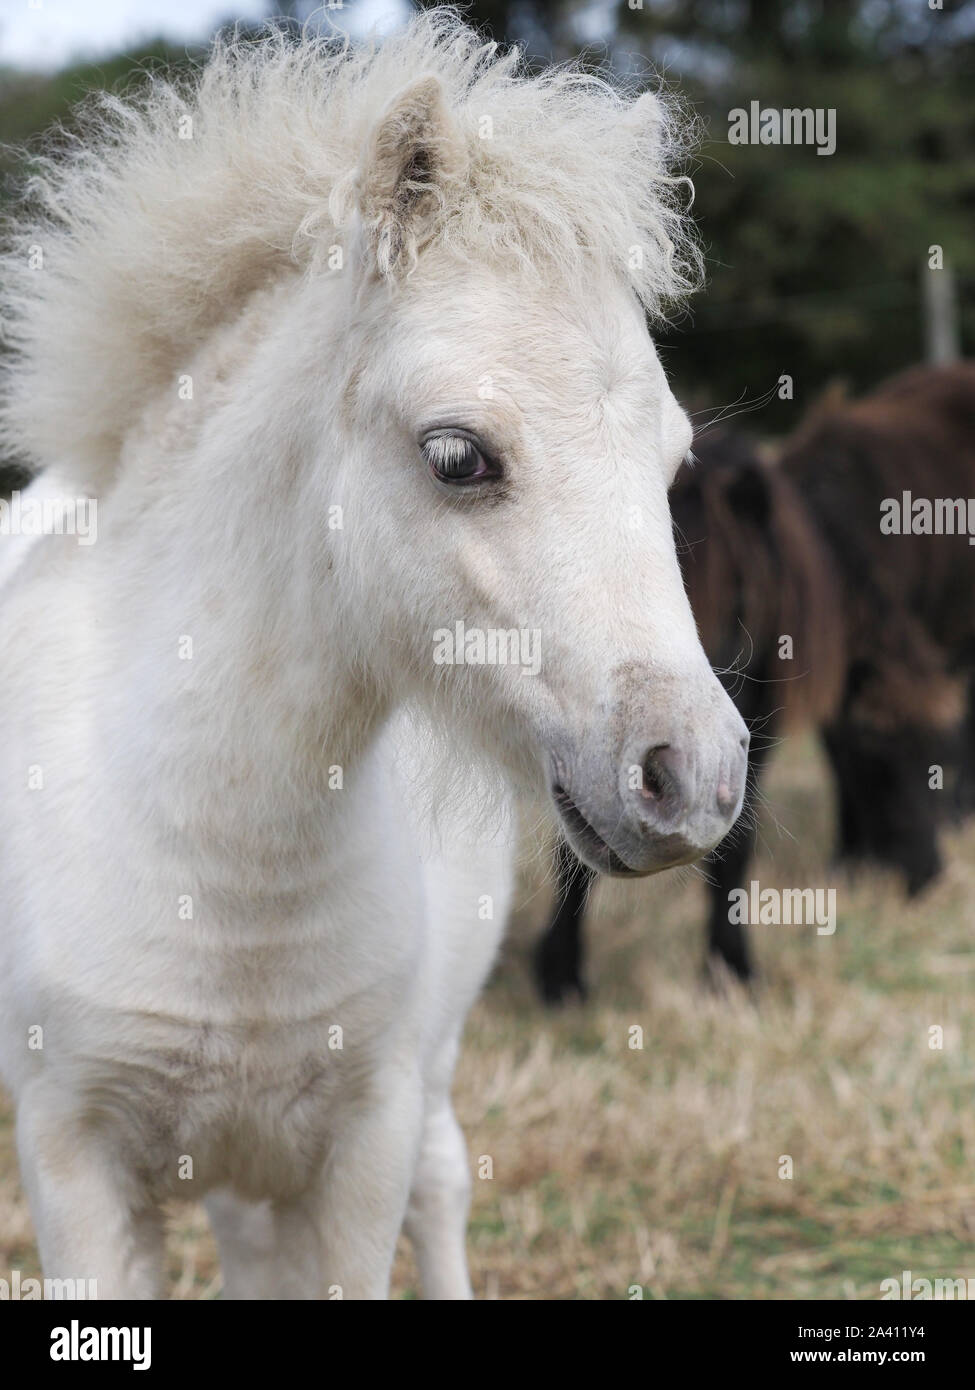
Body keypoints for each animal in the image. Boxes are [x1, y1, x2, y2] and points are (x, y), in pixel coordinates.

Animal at [0, 14, 747, 1299]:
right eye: (457, 455)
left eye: (671, 460)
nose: (690, 773)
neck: (223, 848)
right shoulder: (72, 1154)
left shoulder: (364, 1140)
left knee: (445, 1183)